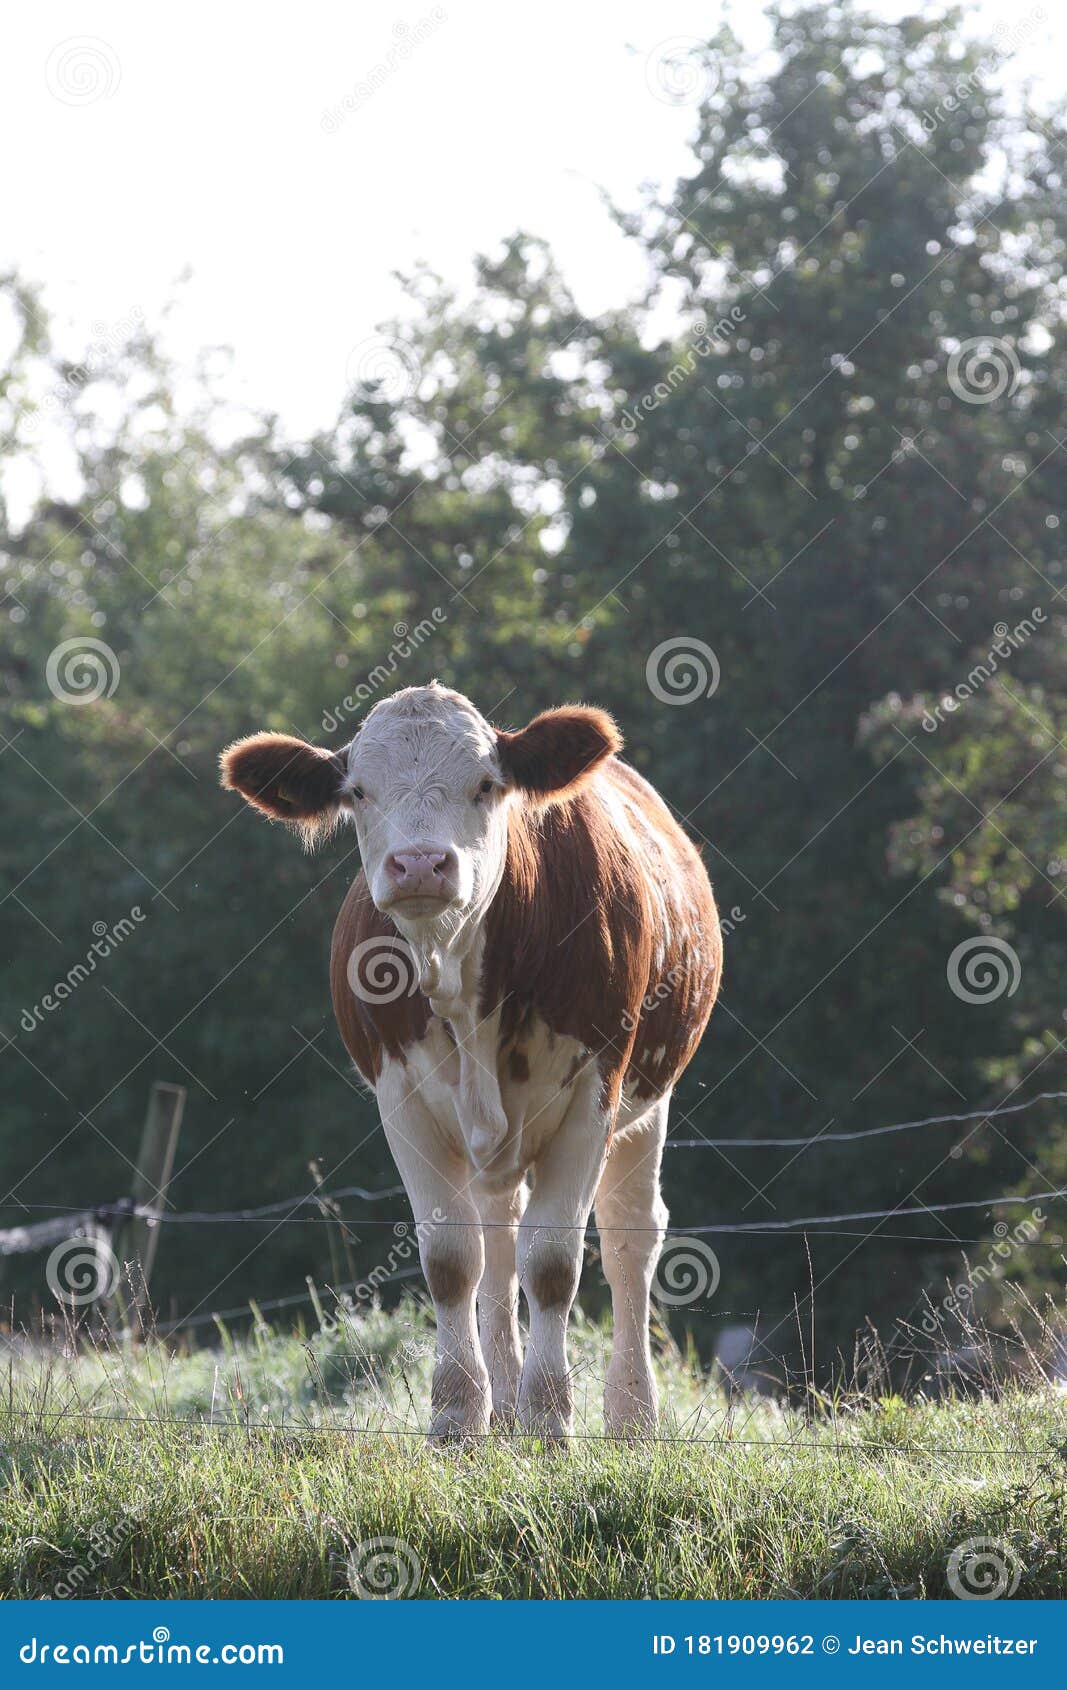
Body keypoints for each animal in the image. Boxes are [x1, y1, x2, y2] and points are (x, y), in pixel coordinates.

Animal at [221, 683, 721, 1439]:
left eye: (486, 785)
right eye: (358, 792)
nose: (421, 864)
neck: (460, 977)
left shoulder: (594, 1092)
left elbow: (553, 1262)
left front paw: (549, 1423)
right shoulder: (398, 1097)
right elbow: (453, 1259)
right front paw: (459, 1418)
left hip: (648, 1100)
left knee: (629, 1237)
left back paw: (630, 1416)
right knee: (497, 1236)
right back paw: (504, 1404)